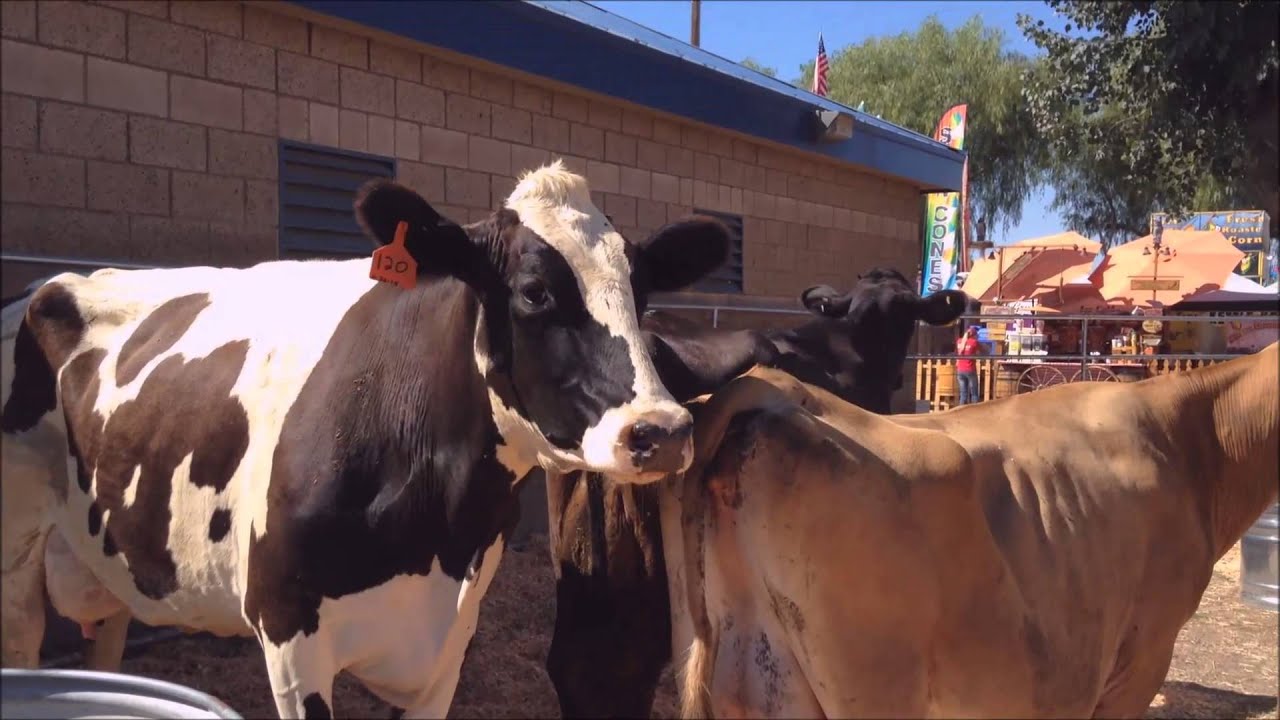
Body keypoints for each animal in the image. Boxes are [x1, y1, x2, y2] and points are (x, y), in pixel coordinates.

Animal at [0, 160, 732, 718]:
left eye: (643, 295)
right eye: (534, 292)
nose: (662, 430)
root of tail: (49, 282)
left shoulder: (448, 642)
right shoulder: (290, 637)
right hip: (15, 554)